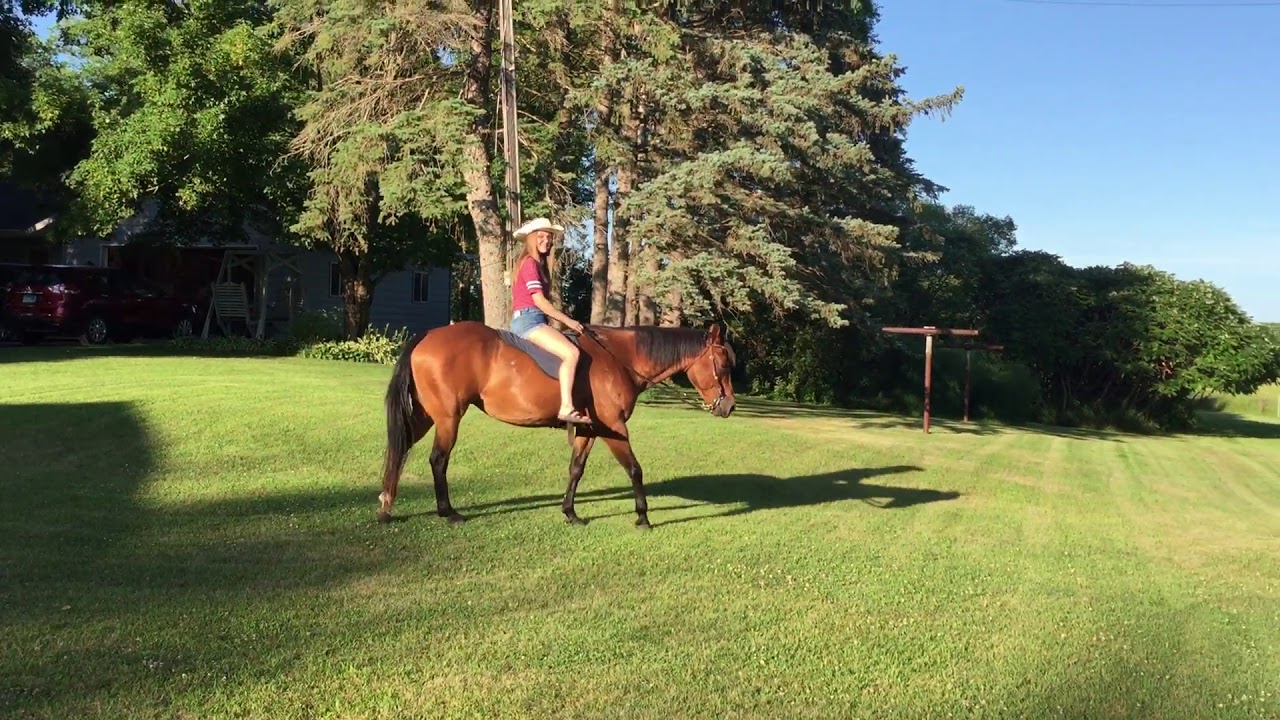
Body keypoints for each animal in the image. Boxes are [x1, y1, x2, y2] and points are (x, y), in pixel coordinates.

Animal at [378, 320, 738, 529]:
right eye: (723, 364)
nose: (730, 406)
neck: (617, 359)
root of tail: (427, 336)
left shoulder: (590, 430)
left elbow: (575, 469)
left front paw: (570, 512)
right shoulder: (614, 429)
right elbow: (635, 470)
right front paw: (642, 516)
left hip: (425, 416)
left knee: (399, 453)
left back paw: (385, 506)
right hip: (448, 418)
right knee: (438, 460)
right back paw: (447, 511)